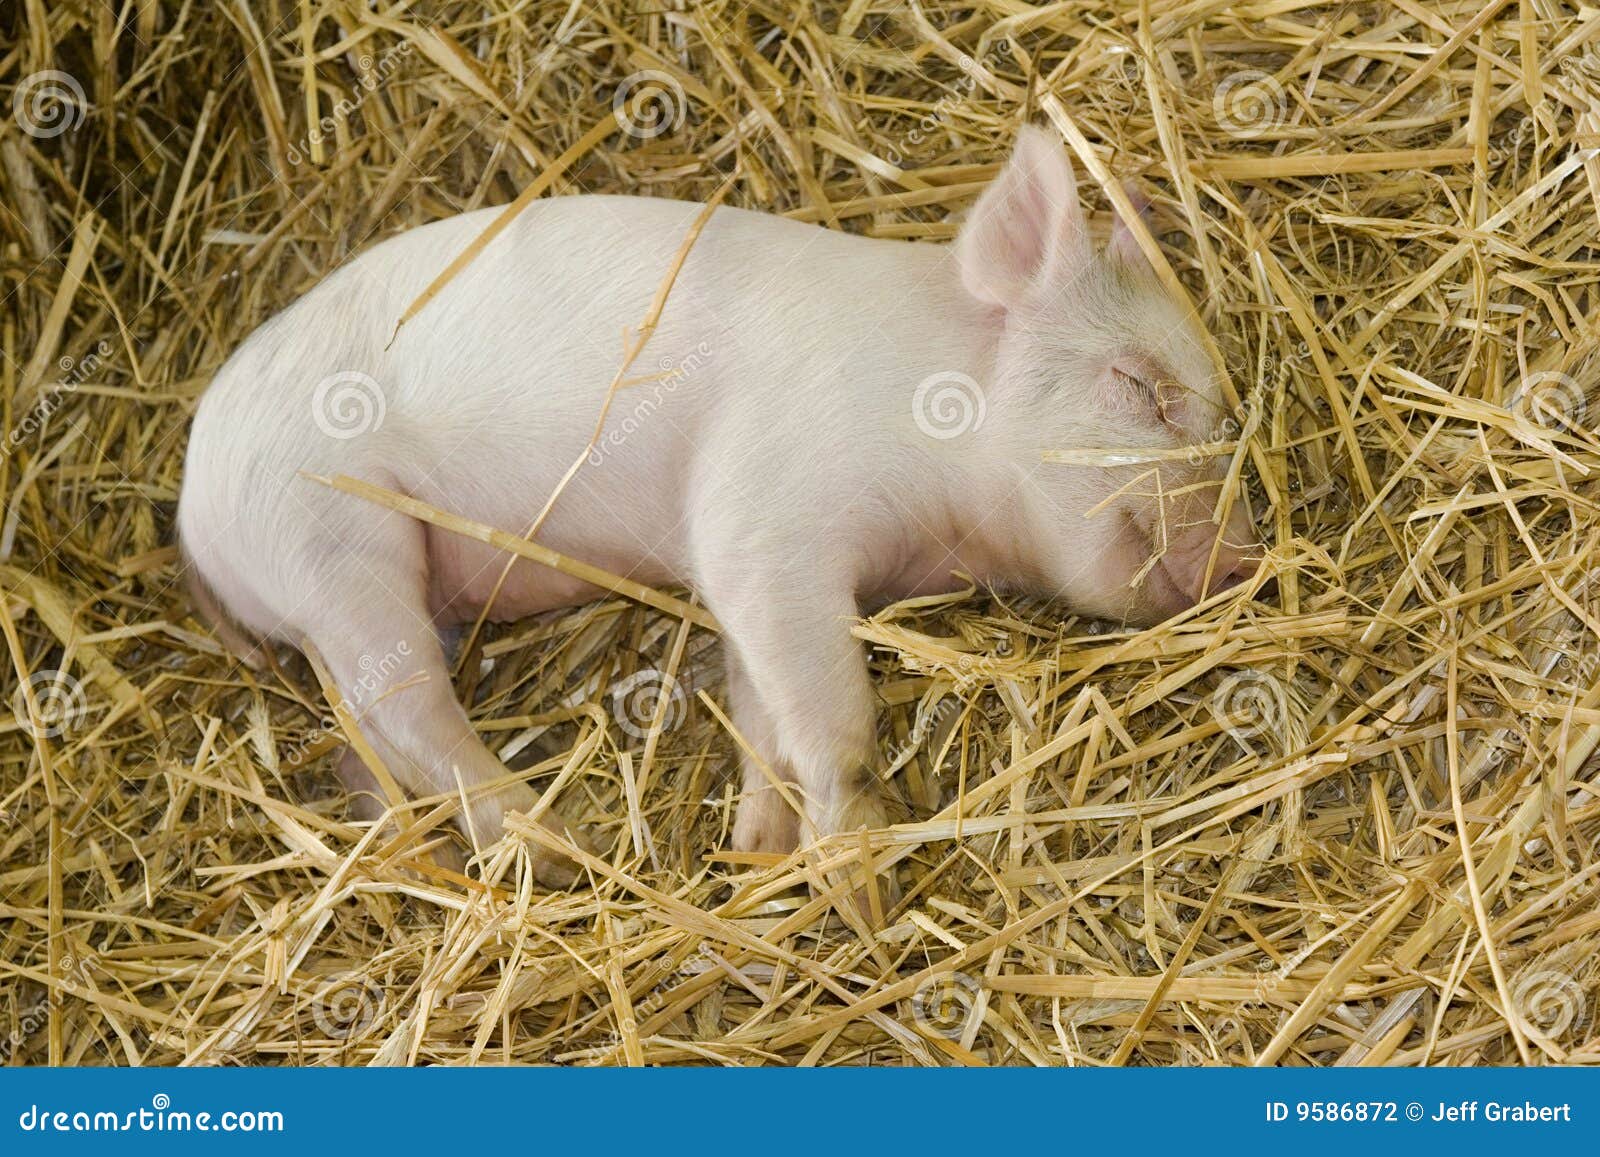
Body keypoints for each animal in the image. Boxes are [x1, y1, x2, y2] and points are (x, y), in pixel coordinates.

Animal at [177, 125, 1259, 891]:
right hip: (333, 547)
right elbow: (825, 705)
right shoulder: (762, 511)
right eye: (1139, 384)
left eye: (1225, 417)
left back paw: (434, 857)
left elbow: (757, 705)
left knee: (357, 740)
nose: (1245, 558)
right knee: (403, 707)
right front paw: (857, 874)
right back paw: (558, 849)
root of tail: (190, 508)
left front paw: (755, 851)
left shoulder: (740, 572)